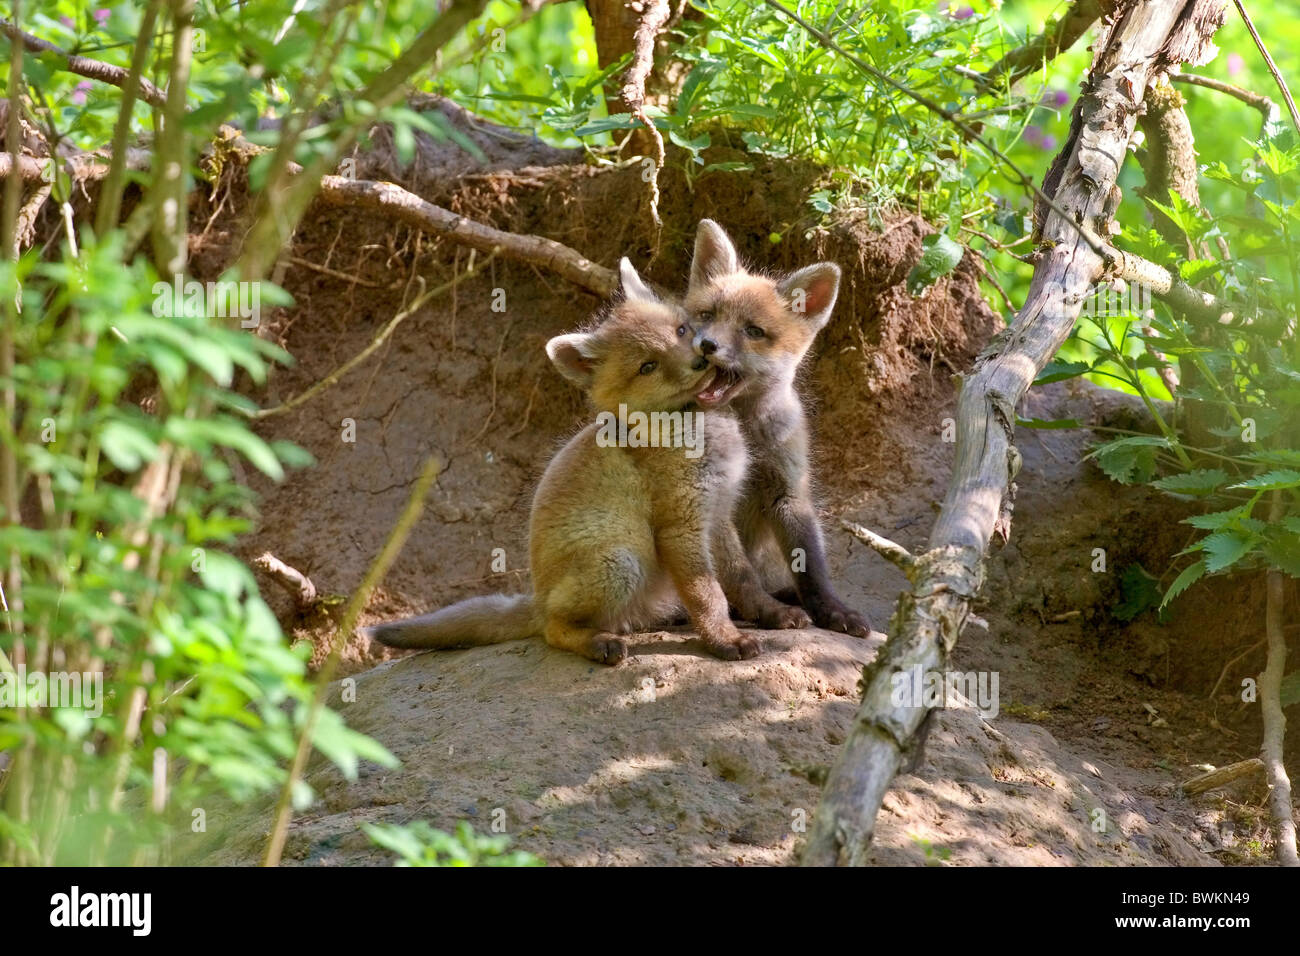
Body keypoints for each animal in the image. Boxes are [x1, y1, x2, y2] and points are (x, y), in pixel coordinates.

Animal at [362, 258, 805, 665]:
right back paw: (598, 642)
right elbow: (708, 594)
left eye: (680, 331)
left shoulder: (718, 513)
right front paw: (724, 639)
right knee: (553, 631)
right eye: (647, 366)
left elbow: (743, 579)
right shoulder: (681, 525)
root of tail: (537, 598)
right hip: (621, 561)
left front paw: (772, 614)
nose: (702, 358)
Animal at [681, 219, 872, 639]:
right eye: (707, 314)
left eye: (753, 331)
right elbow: (739, 574)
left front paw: (834, 611)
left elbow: (812, 569)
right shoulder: (707, 496)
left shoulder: (788, 490)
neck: (747, 437)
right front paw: (768, 613)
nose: (707, 344)